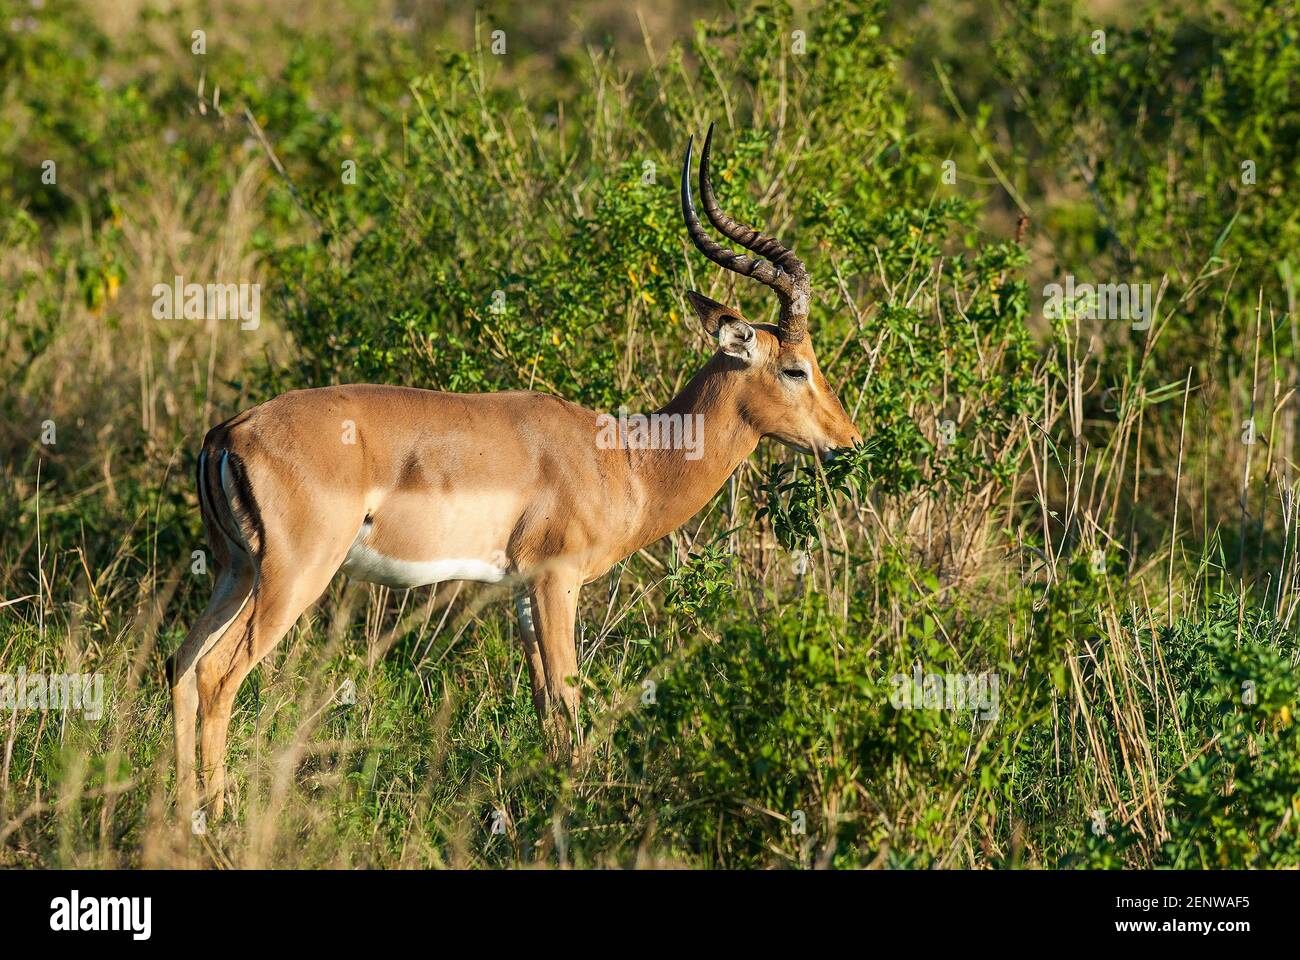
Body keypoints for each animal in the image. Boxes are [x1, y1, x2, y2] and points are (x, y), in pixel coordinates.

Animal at [168, 125, 862, 817]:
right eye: (796, 367)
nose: (849, 442)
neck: (627, 458)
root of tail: (228, 433)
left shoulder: (523, 589)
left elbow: (544, 703)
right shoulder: (558, 579)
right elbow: (569, 694)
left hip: (235, 571)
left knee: (181, 663)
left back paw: (182, 814)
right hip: (292, 577)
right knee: (217, 673)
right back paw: (221, 816)